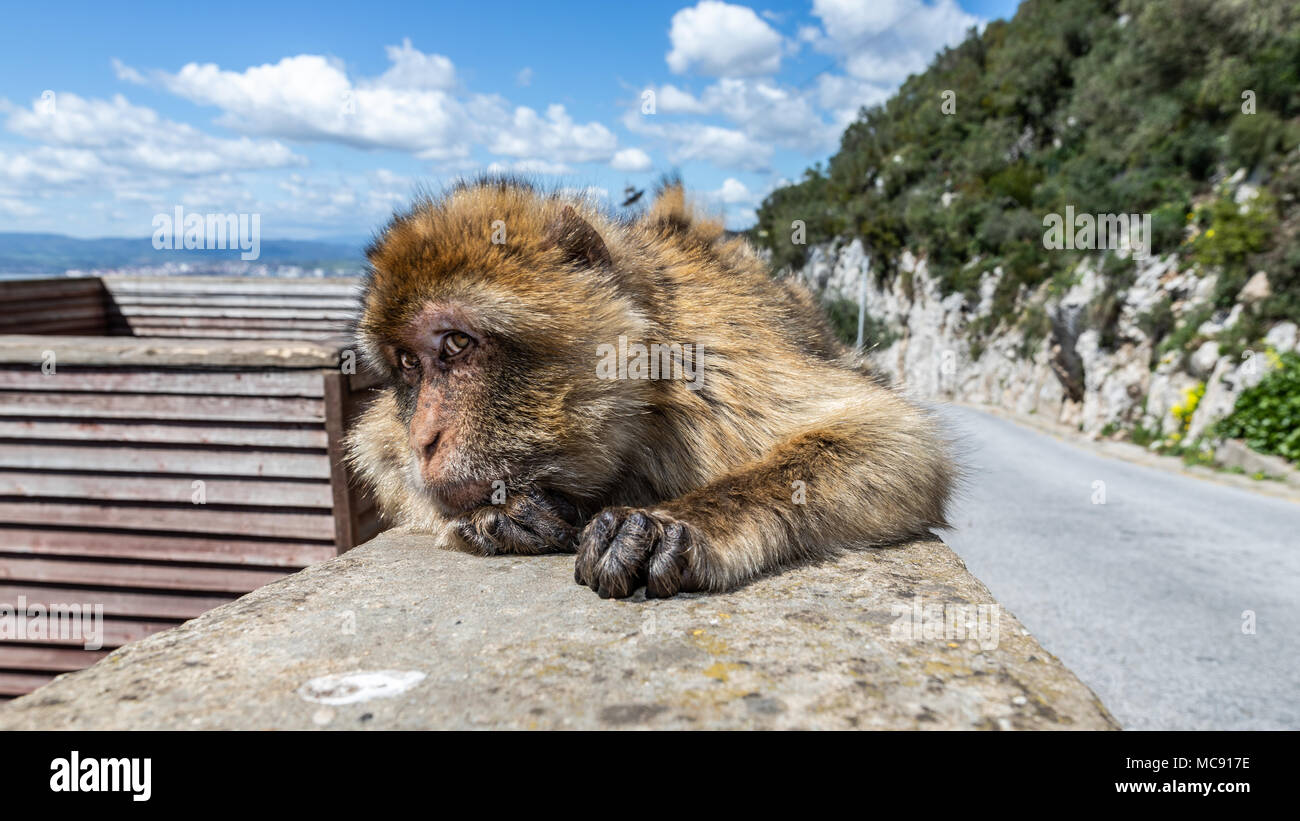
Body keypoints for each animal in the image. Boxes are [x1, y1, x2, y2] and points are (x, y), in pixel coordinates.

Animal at [346, 178, 955, 599]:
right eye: (408, 364)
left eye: (455, 343)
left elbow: (894, 439)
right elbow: (378, 453)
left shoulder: (716, 363)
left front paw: (672, 524)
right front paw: (502, 516)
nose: (423, 439)